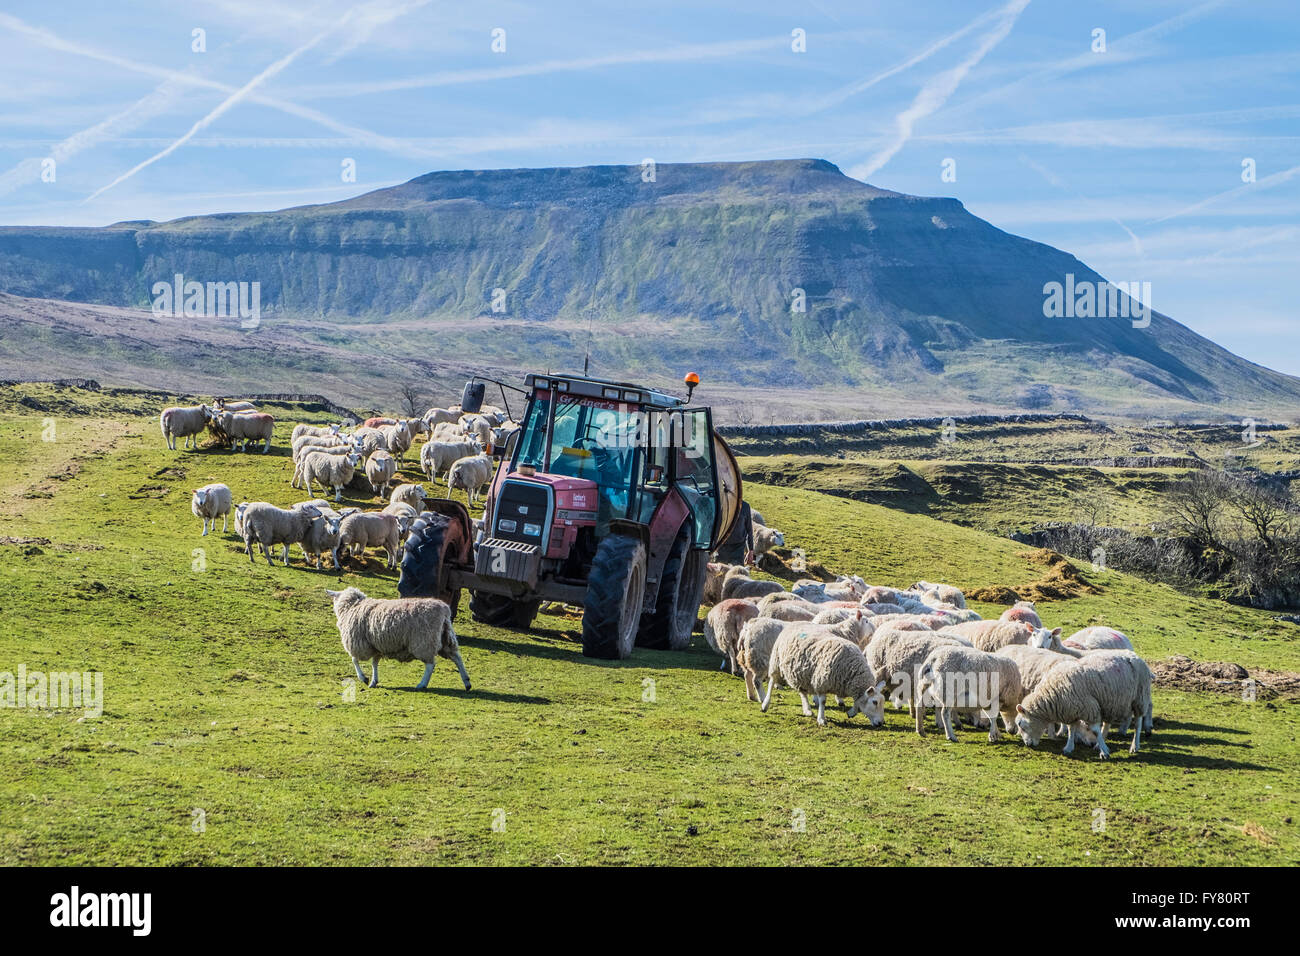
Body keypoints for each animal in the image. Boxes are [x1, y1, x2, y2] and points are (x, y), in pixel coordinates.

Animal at [326, 587, 470, 691]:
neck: (352, 606)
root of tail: (445, 610)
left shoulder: (359, 644)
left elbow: (354, 659)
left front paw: (363, 678)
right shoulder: (376, 646)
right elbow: (374, 663)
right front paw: (373, 681)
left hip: (424, 641)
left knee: (430, 665)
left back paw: (422, 684)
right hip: (445, 638)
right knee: (457, 657)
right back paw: (467, 682)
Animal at [1013, 651, 1151, 759]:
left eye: (1020, 724)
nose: (1028, 744)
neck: (1052, 693)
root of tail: (1135, 655)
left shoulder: (1089, 708)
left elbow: (1095, 731)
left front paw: (1104, 753)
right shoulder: (1072, 710)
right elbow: (1071, 729)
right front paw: (1069, 747)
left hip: (1140, 698)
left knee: (1138, 723)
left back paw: (1134, 746)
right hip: (1111, 703)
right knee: (1107, 724)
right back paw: (1098, 745)